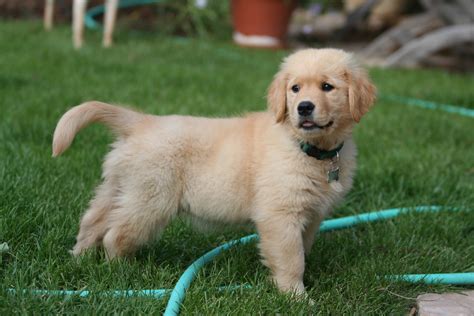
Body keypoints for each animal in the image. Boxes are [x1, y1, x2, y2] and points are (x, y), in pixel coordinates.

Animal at [51, 48, 376, 296]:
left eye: (327, 87)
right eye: (294, 88)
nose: (304, 108)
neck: (309, 148)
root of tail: (142, 121)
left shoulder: (311, 214)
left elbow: (302, 248)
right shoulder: (280, 214)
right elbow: (291, 257)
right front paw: (296, 297)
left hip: (119, 186)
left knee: (92, 221)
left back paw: (79, 259)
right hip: (151, 200)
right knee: (115, 235)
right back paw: (121, 272)